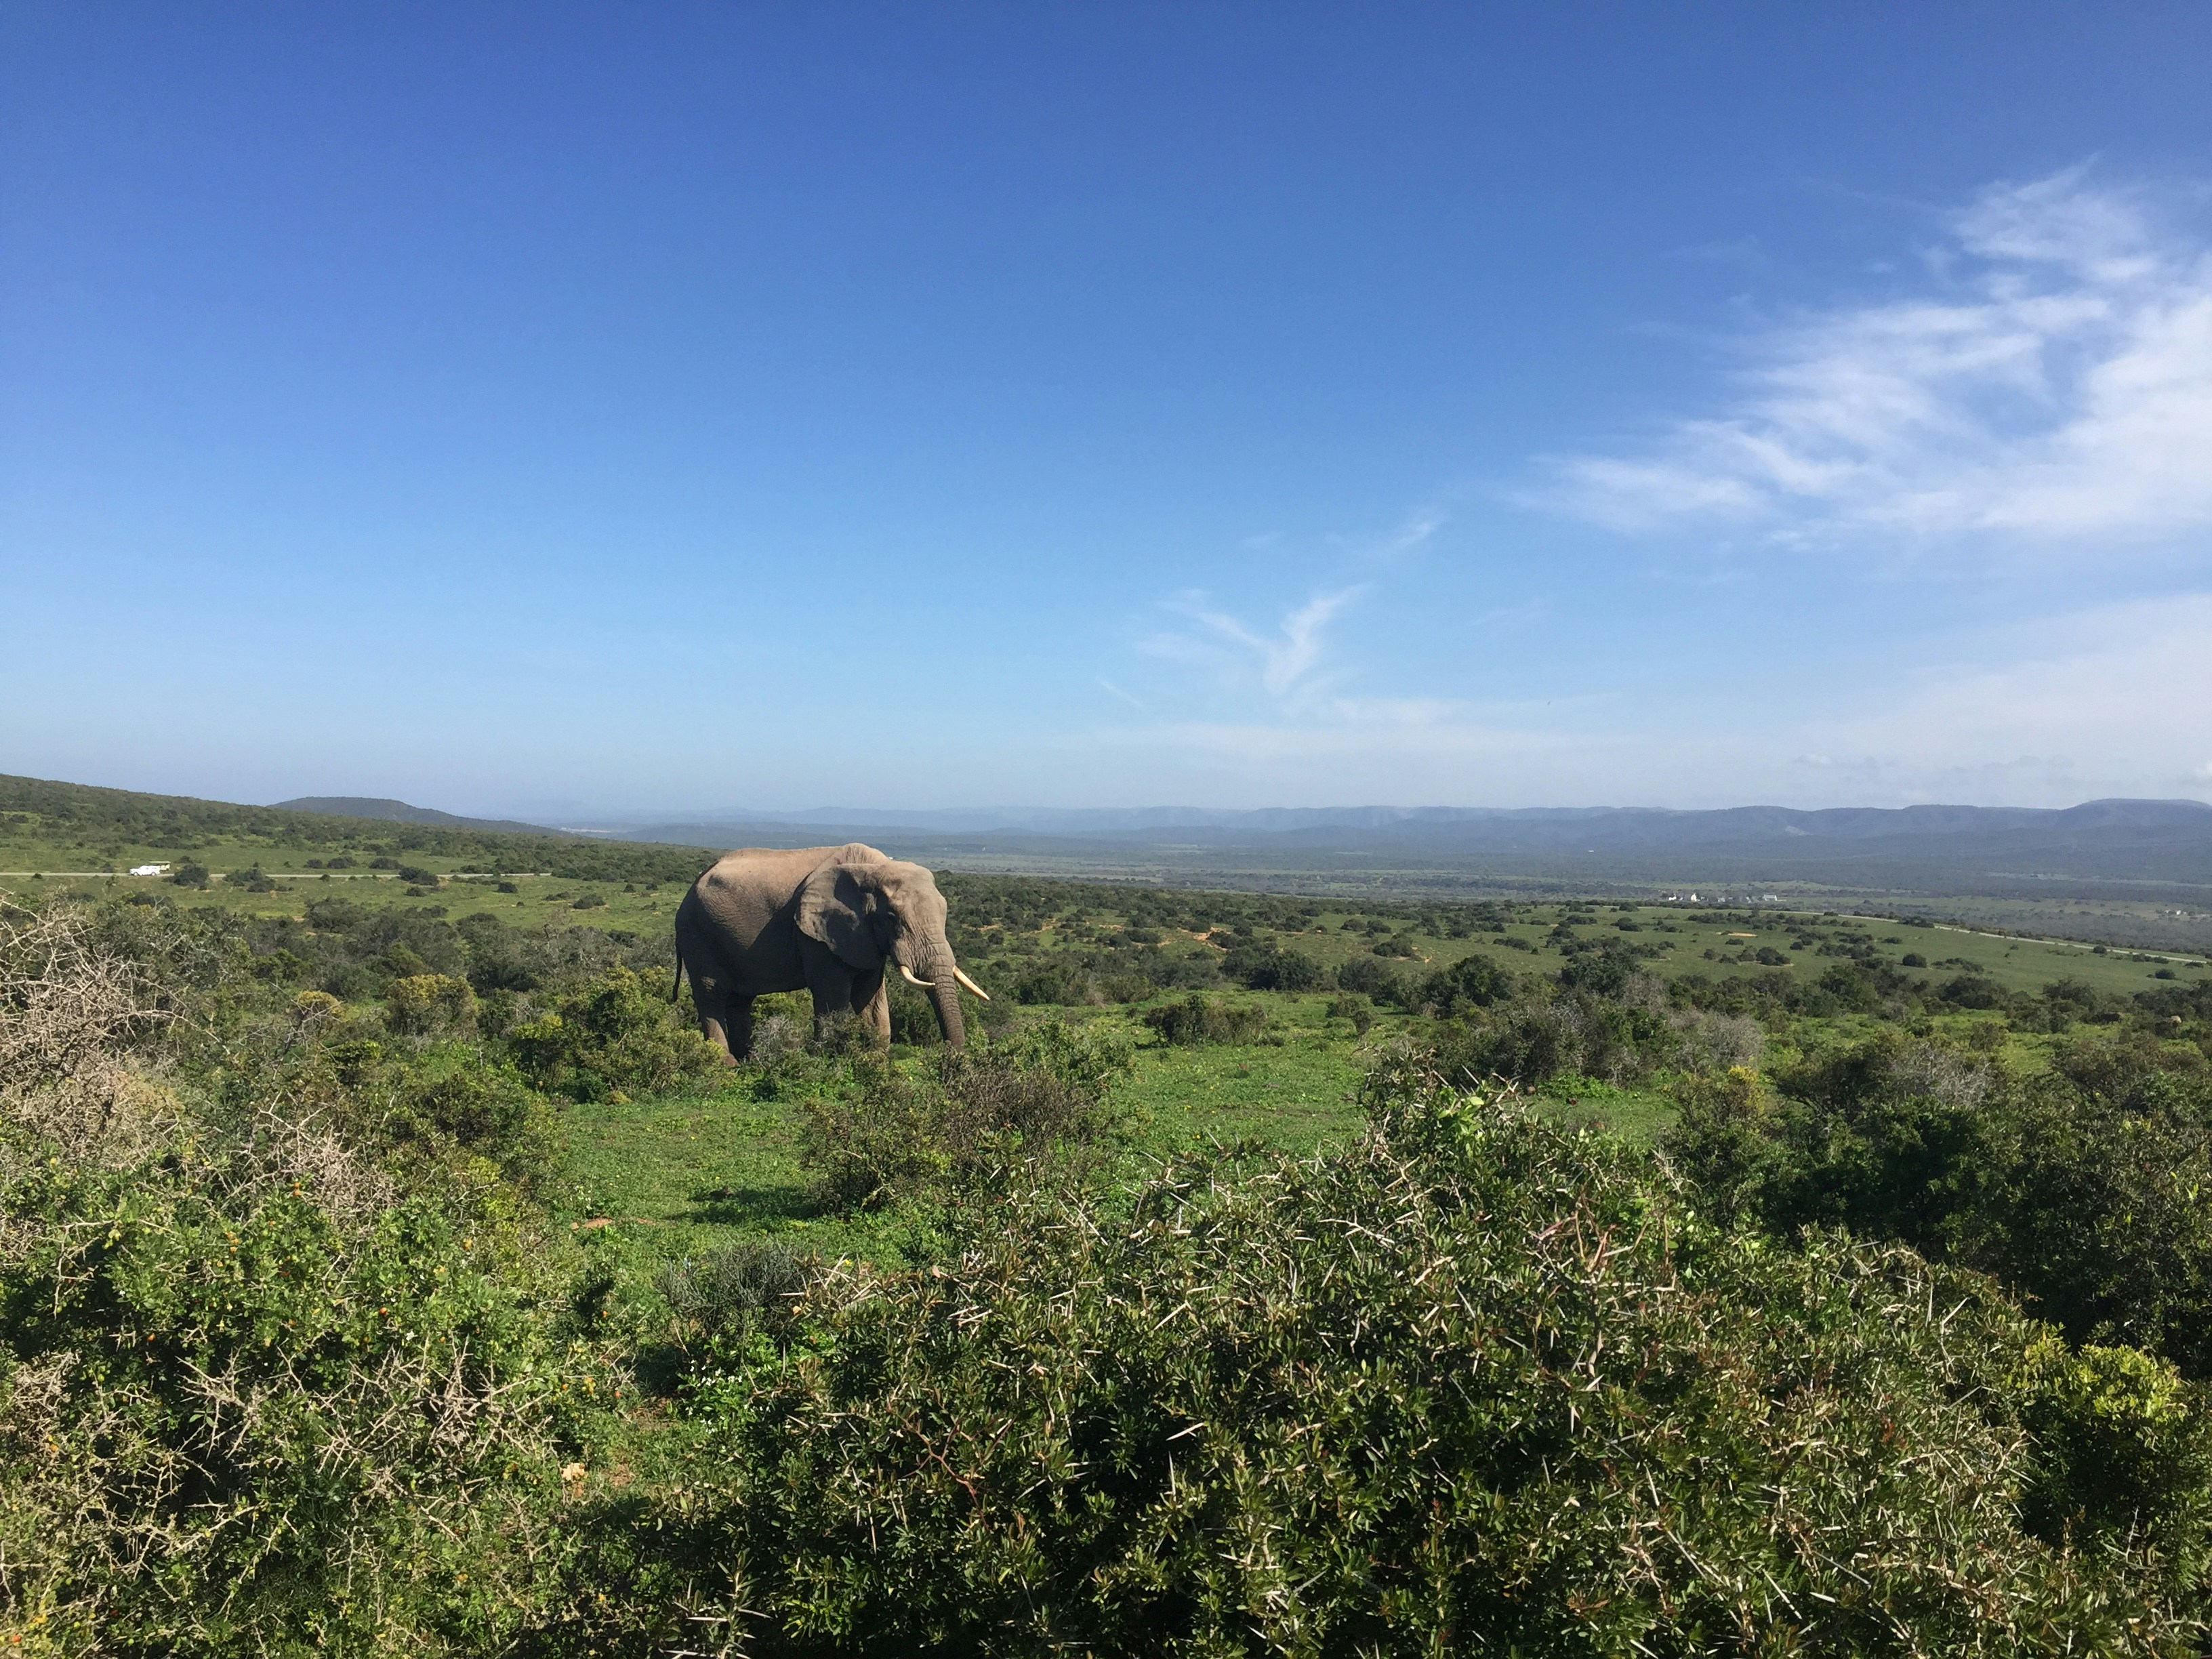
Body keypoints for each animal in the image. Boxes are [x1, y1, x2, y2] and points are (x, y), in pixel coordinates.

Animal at [672, 843, 989, 1061]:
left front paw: (874, 1062)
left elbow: (870, 996)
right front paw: (829, 1059)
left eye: (945, 912)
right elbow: (833, 994)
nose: (955, 1061)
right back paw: (727, 1064)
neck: (874, 869)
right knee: (711, 994)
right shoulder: (818, 935)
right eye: (892, 918)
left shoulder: (863, 937)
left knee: (740, 1000)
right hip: (697, 933)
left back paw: (749, 1061)